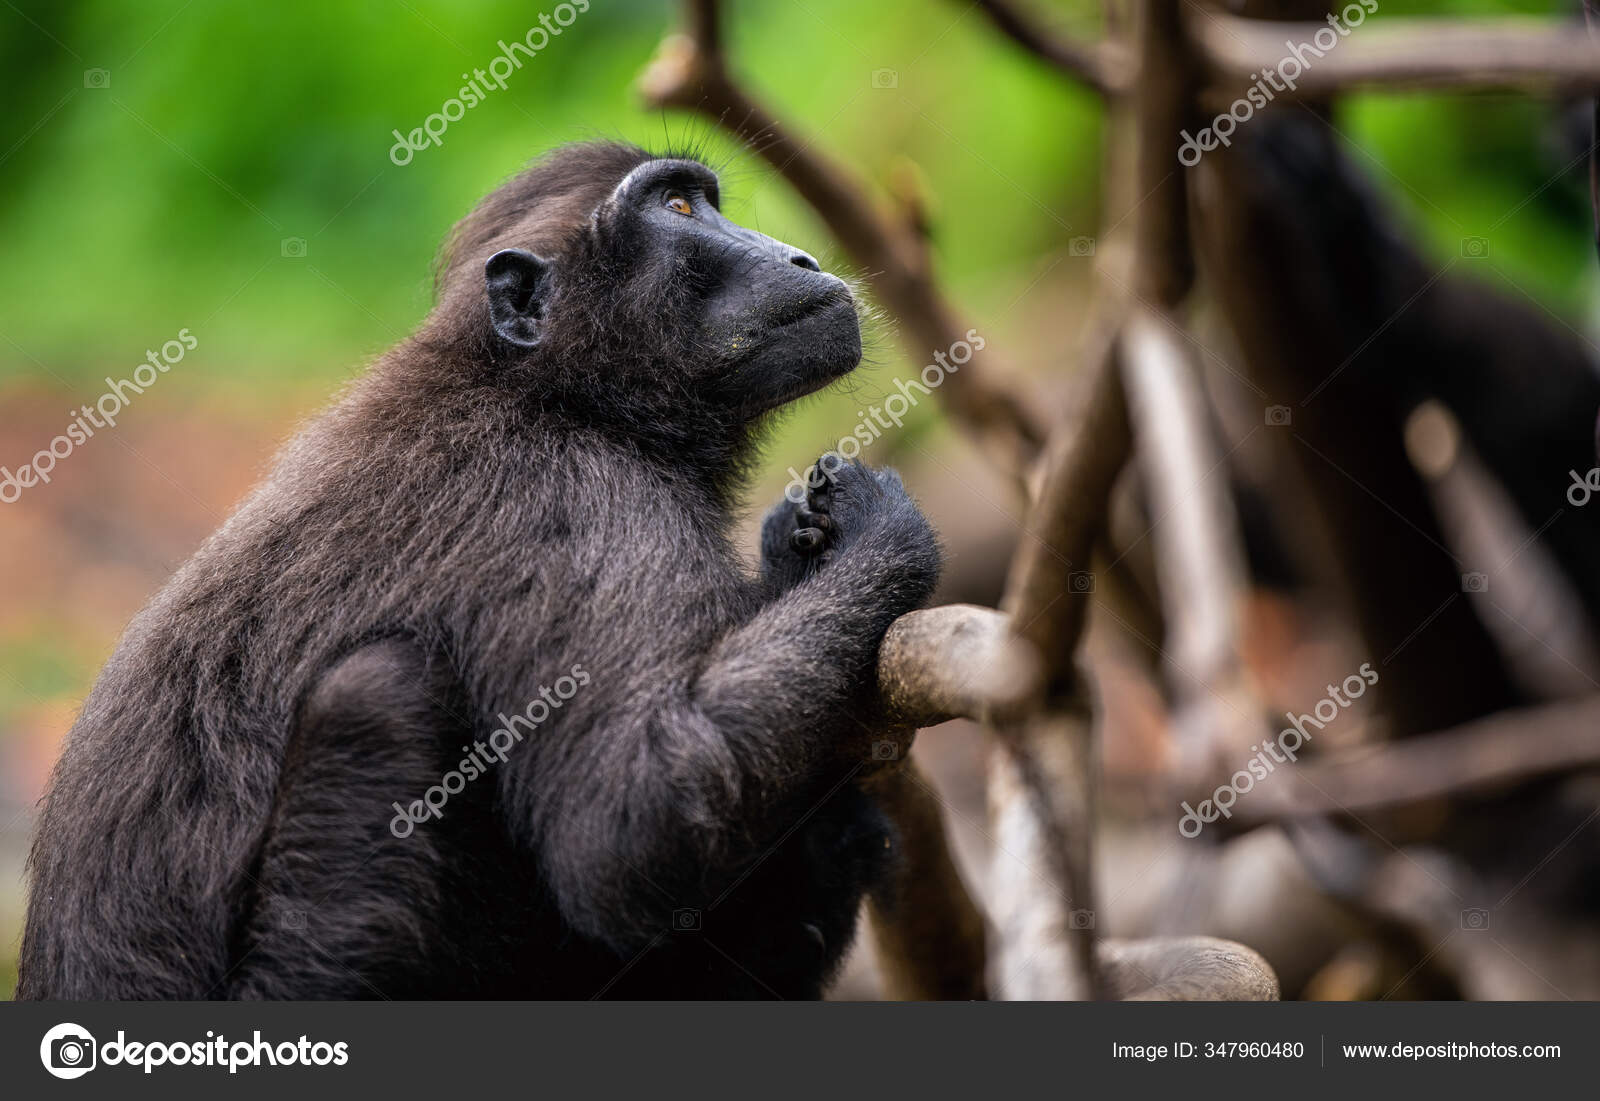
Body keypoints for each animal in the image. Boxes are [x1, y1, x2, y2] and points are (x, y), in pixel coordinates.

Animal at [18, 142, 942, 999]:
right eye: (679, 207)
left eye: (703, 199)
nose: (802, 257)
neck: (553, 391)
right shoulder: (574, 500)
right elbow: (631, 827)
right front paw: (880, 541)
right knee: (379, 689)